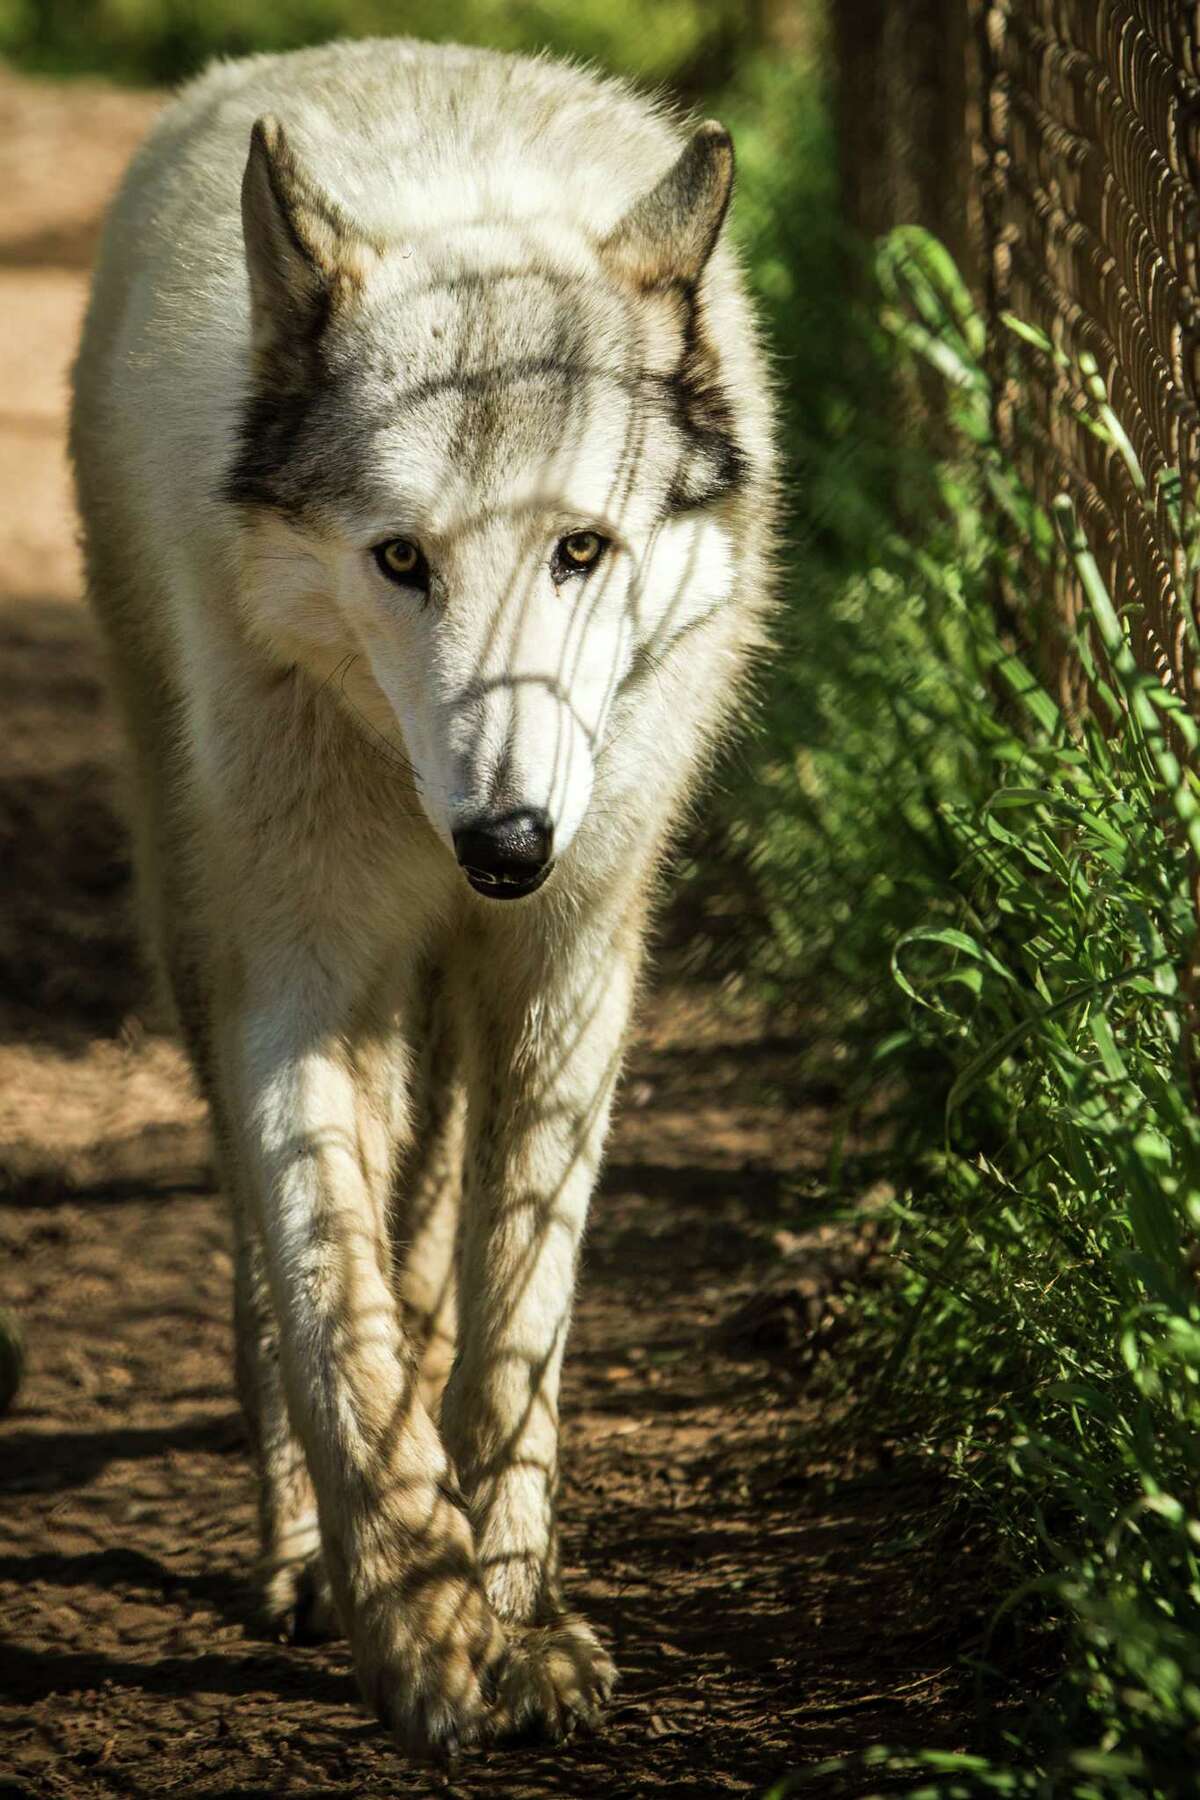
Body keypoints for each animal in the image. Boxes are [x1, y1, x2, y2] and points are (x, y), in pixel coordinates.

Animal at [70, 36, 776, 1752]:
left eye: (581, 550)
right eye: (401, 560)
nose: (506, 843)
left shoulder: (570, 966)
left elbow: (516, 1317)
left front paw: (512, 1605)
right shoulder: (300, 973)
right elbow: (331, 1299)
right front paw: (430, 1635)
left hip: (457, 985)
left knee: (440, 1227)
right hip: (212, 927)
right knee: (287, 1257)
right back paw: (300, 1552)